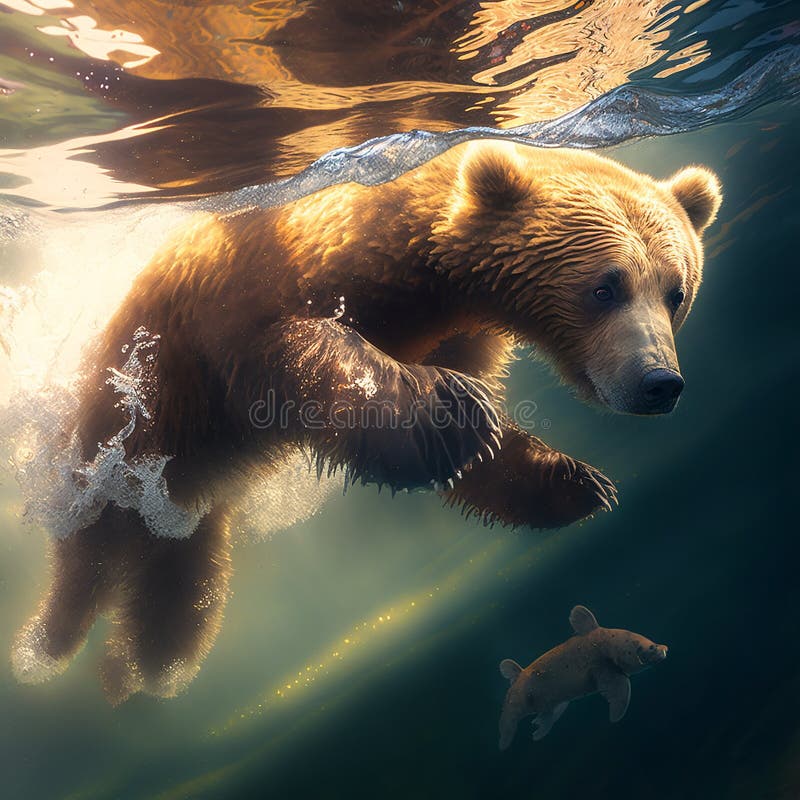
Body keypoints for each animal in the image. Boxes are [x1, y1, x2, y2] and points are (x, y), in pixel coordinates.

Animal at [11, 141, 721, 703]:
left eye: (676, 291)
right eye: (605, 287)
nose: (659, 384)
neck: (421, 274)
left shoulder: (456, 329)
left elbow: (482, 461)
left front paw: (575, 482)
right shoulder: (259, 293)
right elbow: (304, 359)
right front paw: (456, 414)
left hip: (191, 505)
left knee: (180, 582)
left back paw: (147, 667)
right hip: (120, 447)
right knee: (88, 560)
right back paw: (45, 651)